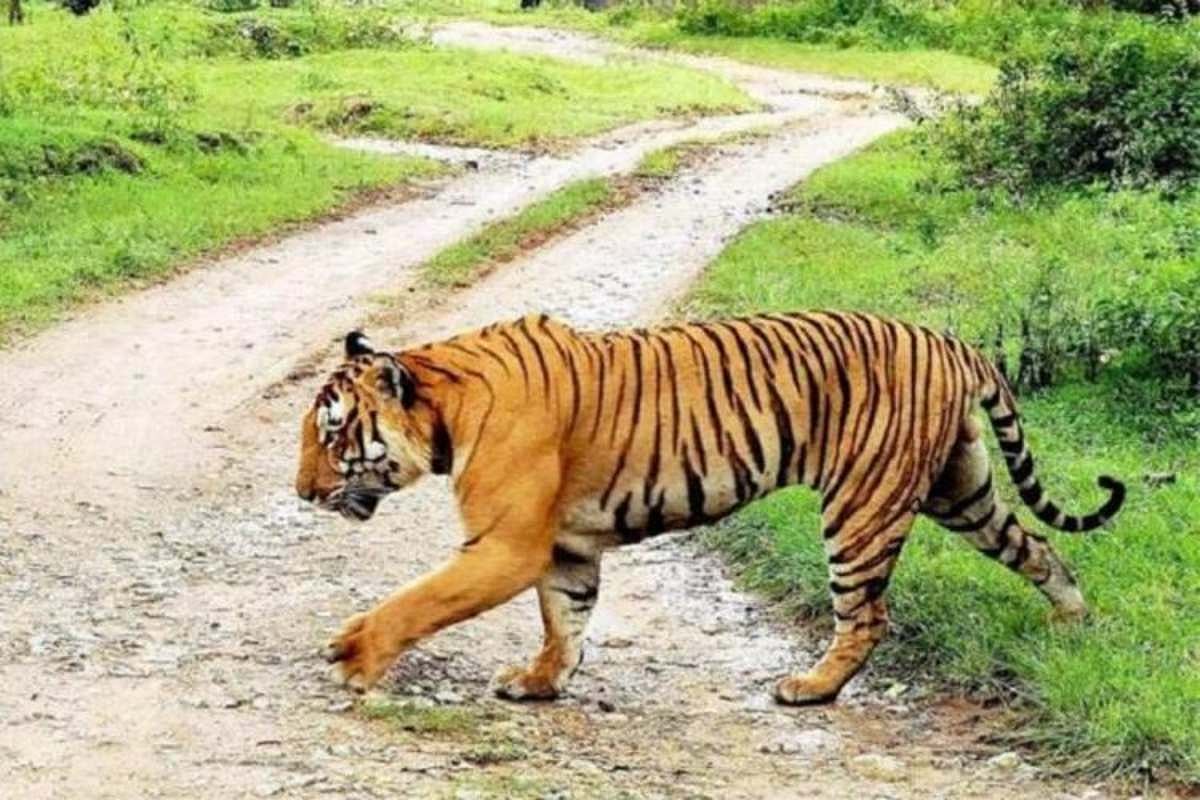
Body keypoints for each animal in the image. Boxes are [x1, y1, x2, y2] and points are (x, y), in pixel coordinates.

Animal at [295, 311, 1124, 703]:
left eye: (332, 432)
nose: (301, 492)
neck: (446, 403)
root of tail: (953, 342)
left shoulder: (506, 547)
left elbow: (416, 601)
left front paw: (355, 655)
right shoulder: (565, 548)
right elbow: (566, 620)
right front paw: (541, 683)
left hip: (862, 507)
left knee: (867, 615)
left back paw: (811, 689)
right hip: (963, 489)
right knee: (1039, 548)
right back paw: (1072, 623)